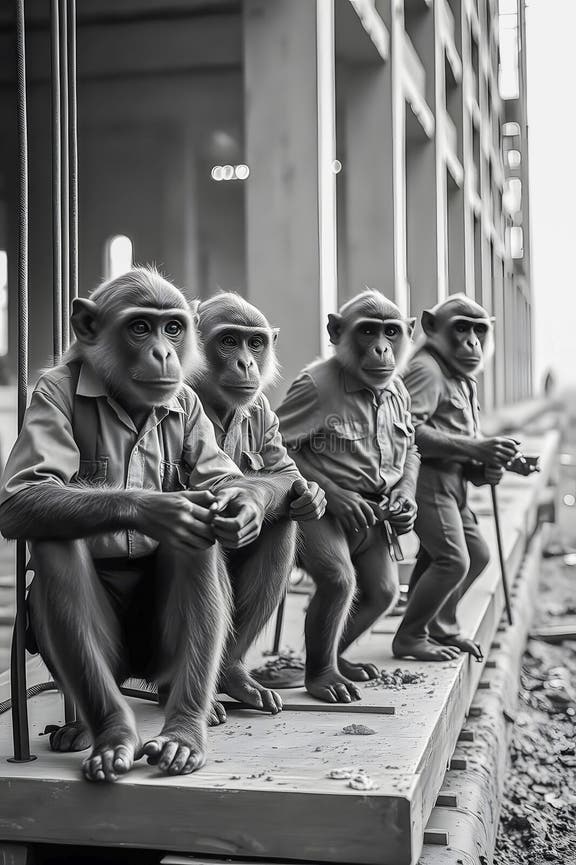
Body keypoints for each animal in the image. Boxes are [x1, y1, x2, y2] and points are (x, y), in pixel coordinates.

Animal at [0, 267, 274, 782]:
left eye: (173, 328)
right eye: (141, 327)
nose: (164, 352)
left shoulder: (188, 400)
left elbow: (223, 483)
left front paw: (236, 507)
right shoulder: (46, 392)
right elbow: (26, 493)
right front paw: (162, 509)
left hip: (159, 659)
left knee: (197, 545)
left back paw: (184, 730)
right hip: (117, 662)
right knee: (53, 533)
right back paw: (105, 732)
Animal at [194, 292, 326, 720]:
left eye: (254, 343)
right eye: (228, 341)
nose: (245, 362)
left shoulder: (263, 407)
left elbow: (284, 474)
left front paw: (309, 496)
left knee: (282, 522)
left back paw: (232, 675)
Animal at [276, 290, 420, 704]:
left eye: (390, 331)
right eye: (368, 330)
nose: (381, 348)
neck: (365, 387)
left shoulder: (400, 390)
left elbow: (412, 447)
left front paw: (404, 505)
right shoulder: (310, 389)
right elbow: (283, 448)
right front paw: (344, 499)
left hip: (376, 540)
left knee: (380, 592)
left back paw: (342, 662)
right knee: (339, 580)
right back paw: (323, 677)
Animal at [392, 294, 520, 663]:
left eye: (478, 328)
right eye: (461, 327)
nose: (472, 342)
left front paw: (491, 470)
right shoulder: (423, 376)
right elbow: (416, 431)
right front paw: (491, 450)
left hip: (461, 509)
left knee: (476, 556)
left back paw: (443, 632)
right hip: (429, 496)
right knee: (454, 561)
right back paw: (412, 642)